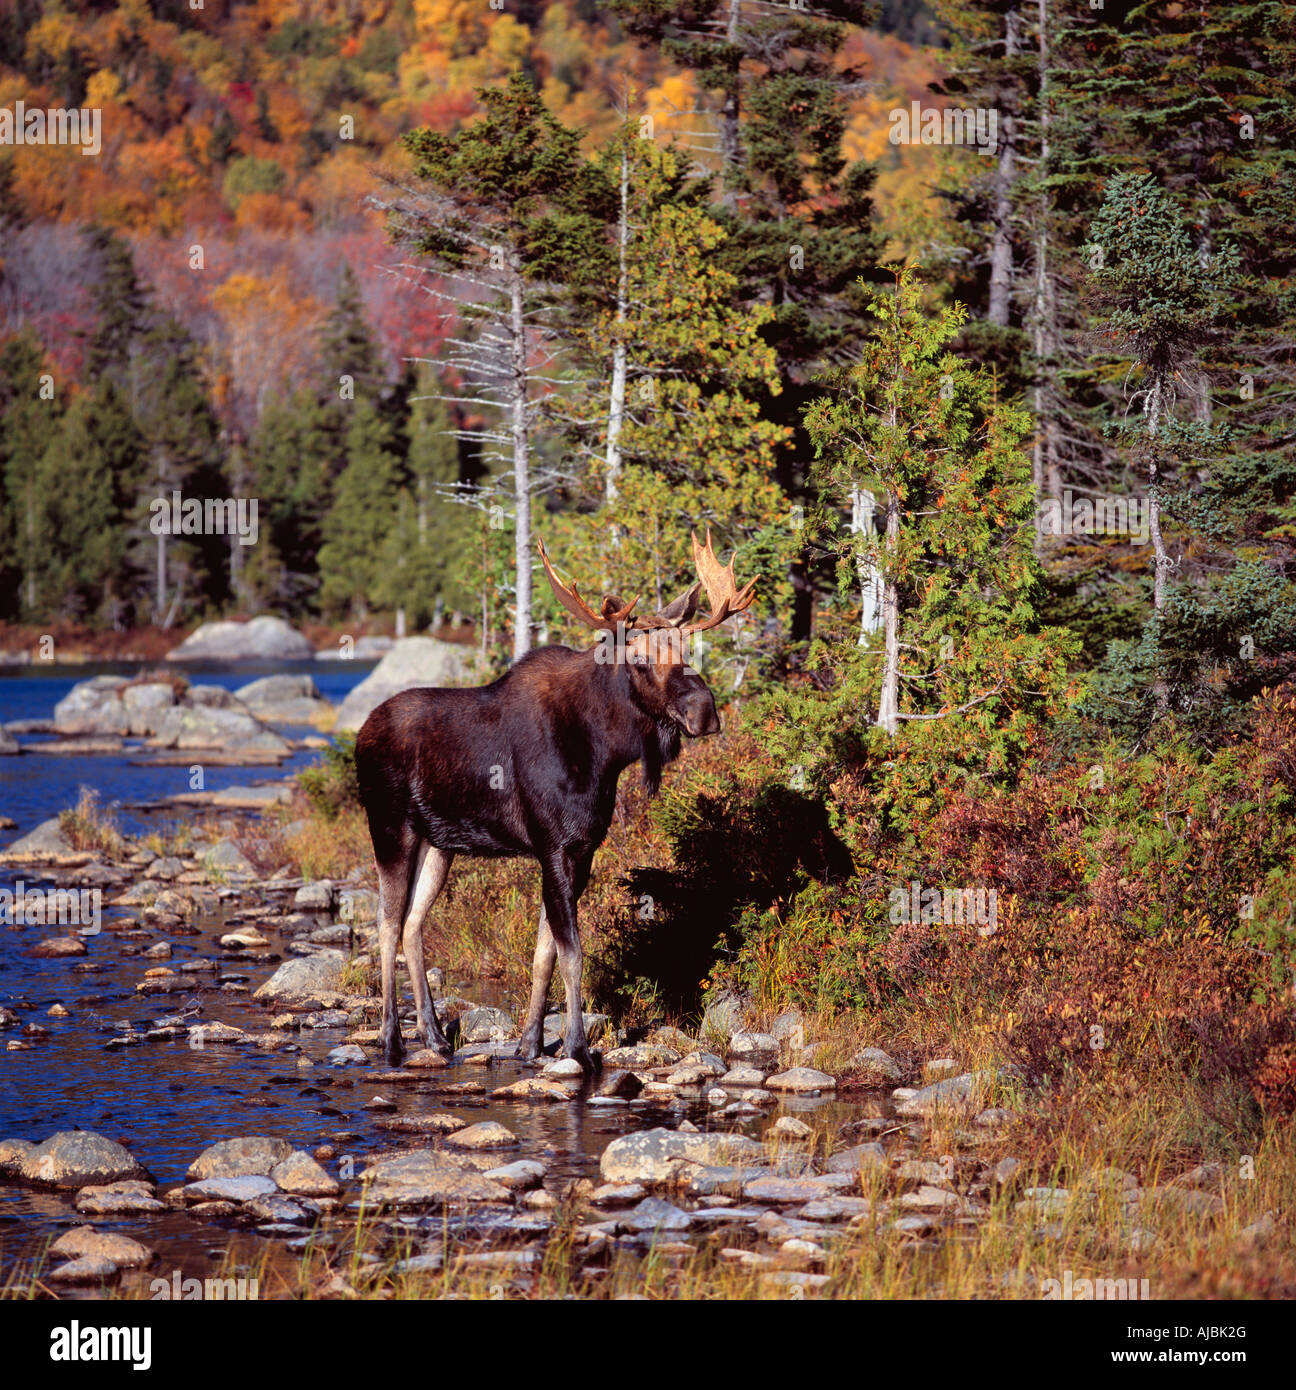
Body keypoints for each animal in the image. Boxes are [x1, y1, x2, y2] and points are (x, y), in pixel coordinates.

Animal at [353, 532, 756, 1072]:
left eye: (688, 649)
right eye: (640, 661)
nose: (704, 711)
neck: (606, 753)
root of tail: (360, 735)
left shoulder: (581, 850)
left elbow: (544, 951)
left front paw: (530, 1044)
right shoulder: (555, 847)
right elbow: (573, 953)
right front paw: (577, 1048)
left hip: (440, 842)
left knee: (415, 923)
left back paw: (435, 1036)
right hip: (390, 827)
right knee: (386, 923)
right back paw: (393, 1039)